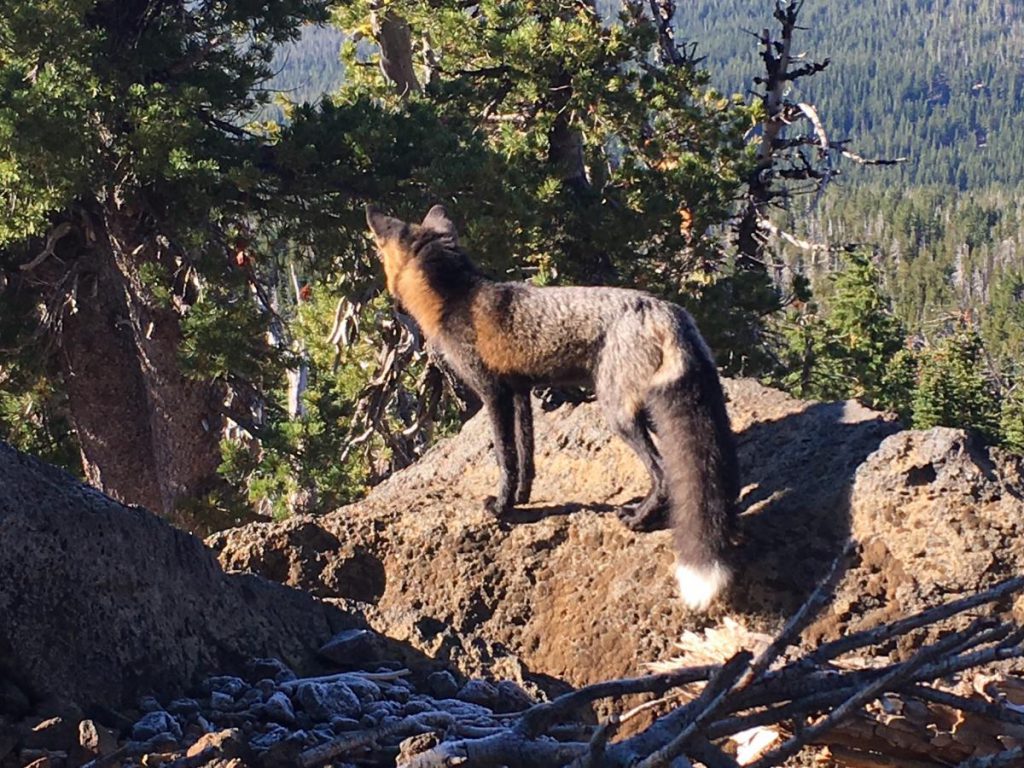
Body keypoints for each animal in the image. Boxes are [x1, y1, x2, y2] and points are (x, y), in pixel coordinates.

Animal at [365, 204, 740, 611]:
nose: (389, 300)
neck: (457, 300)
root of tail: (666, 310)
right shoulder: (520, 391)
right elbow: (526, 453)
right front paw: (522, 497)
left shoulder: (493, 393)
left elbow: (505, 457)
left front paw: (502, 507)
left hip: (619, 412)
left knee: (664, 472)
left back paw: (639, 519)